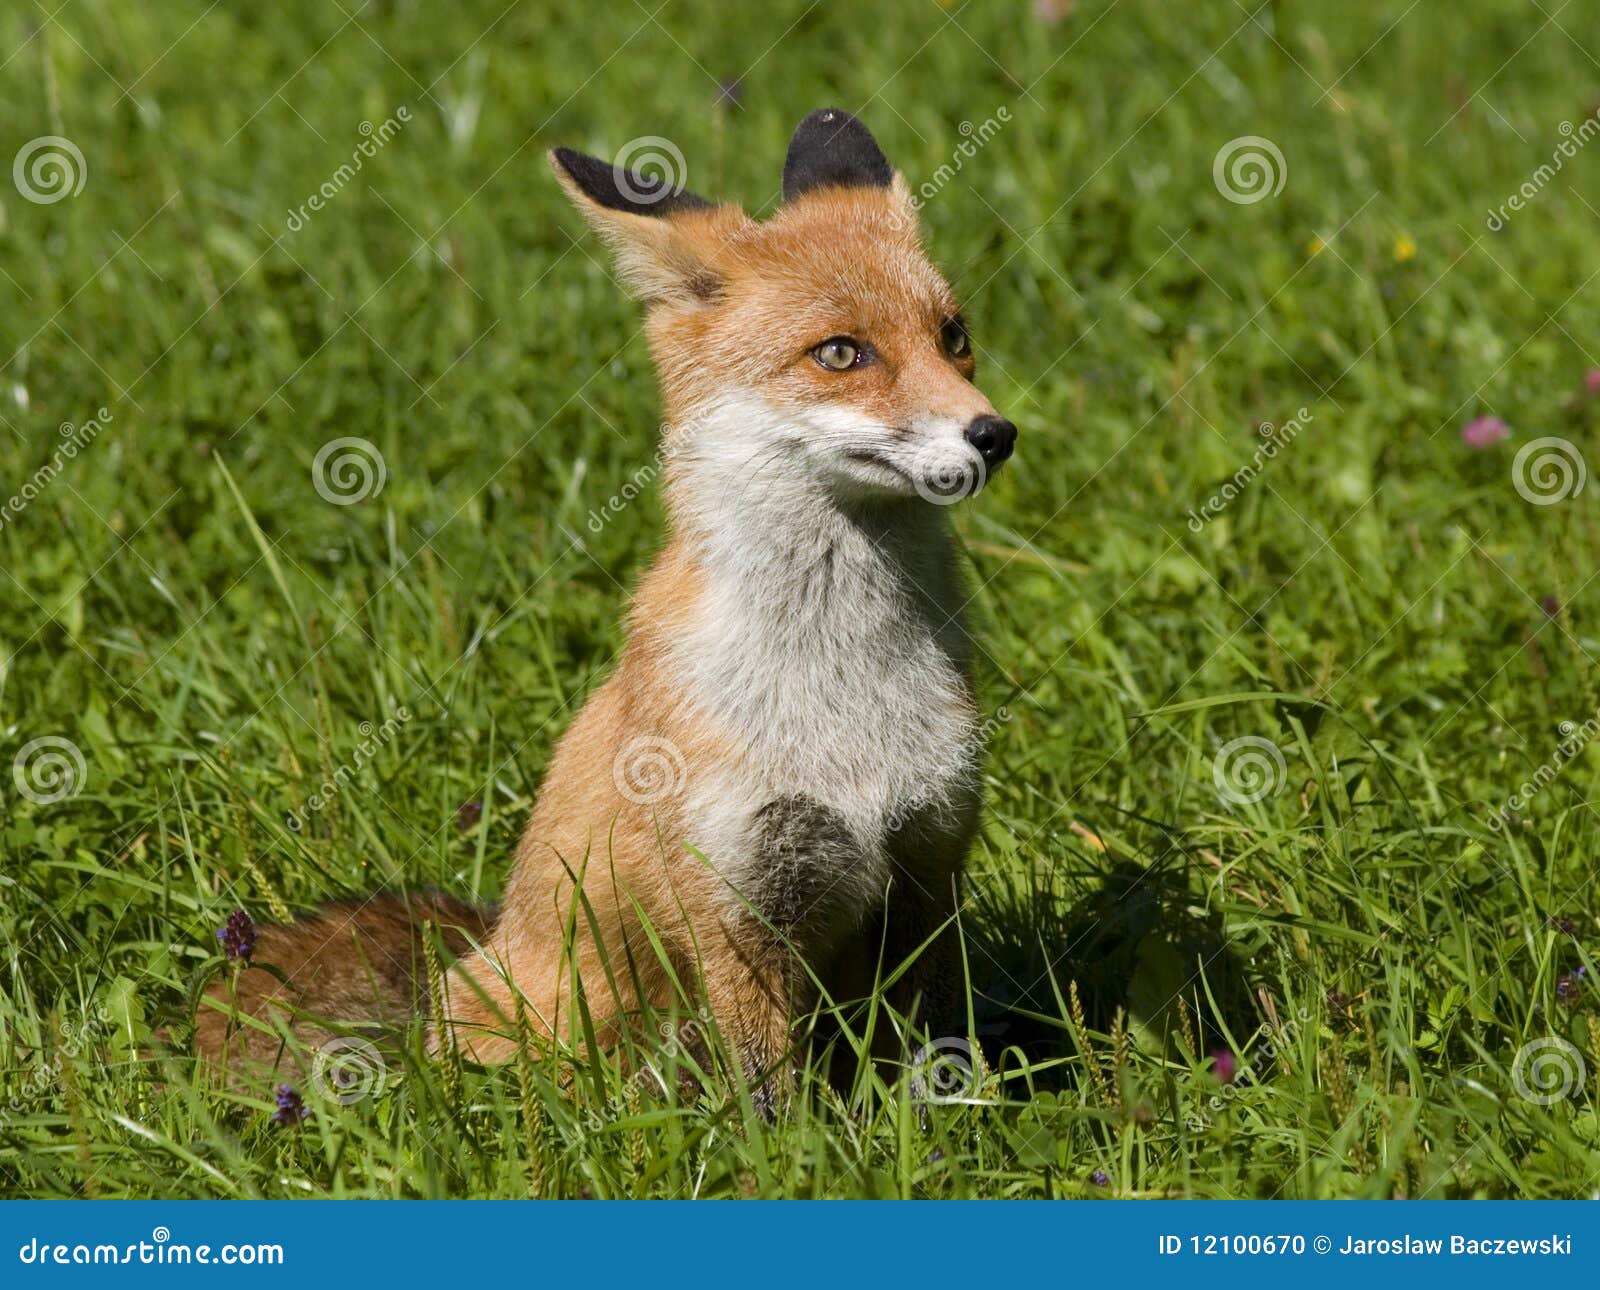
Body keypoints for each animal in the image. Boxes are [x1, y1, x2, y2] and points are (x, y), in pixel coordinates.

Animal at [196, 108, 1017, 1104]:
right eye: (840, 353)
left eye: (955, 335)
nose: (995, 433)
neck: (843, 686)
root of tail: (470, 948)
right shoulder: (735, 906)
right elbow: (770, 1097)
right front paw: (794, 1143)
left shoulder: (927, 868)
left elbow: (924, 1059)